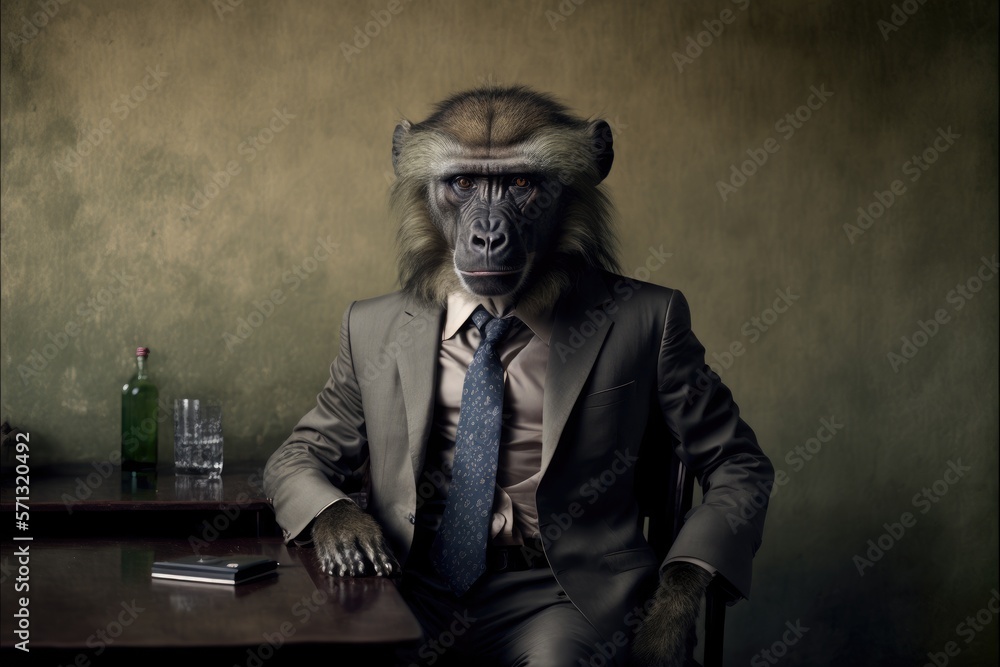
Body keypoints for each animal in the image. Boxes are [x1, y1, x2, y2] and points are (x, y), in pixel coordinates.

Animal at [265, 85, 773, 667]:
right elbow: (303, 451)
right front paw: (348, 528)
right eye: (464, 183)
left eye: (521, 184)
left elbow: (737, 461)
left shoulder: (676, 336)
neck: (497, 314)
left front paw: (668, 620)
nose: (487, 235)